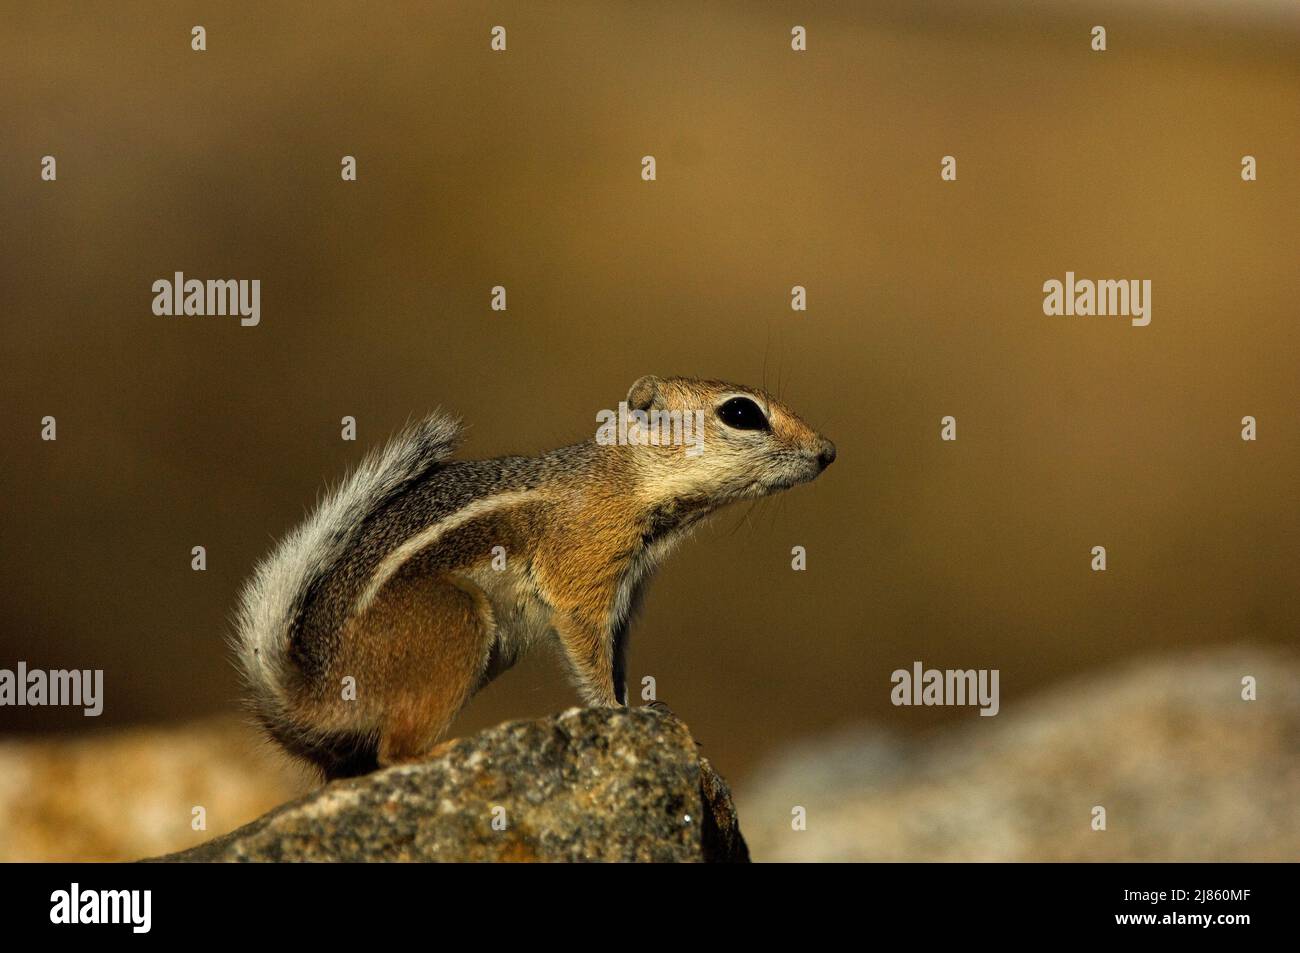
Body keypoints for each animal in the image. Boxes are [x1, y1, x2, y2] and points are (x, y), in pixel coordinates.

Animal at [234, 376, 835, 779]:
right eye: (741, 413)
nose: (828, 451)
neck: (627, 477)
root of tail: (314, 692)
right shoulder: (583, 578)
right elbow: (589, 656)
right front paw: (619, 713)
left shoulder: (625, 596)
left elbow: (616, 657)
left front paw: (643, 705)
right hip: (455, 618)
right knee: (393, 753)